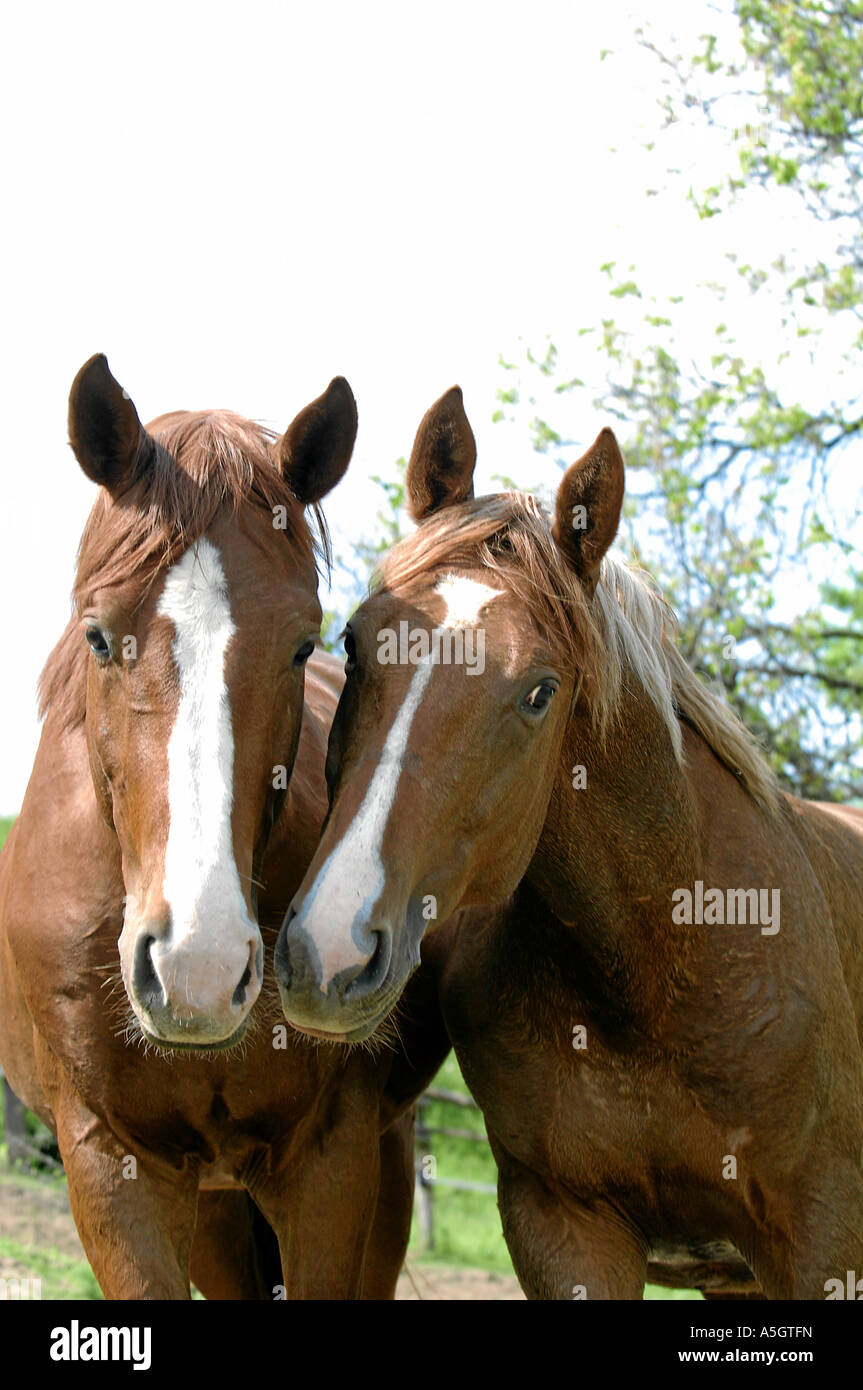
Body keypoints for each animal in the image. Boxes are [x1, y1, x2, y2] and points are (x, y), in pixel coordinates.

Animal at [273, 383, 861, 1301]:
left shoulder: (823, 1240)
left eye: (539, 692)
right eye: (353, 642)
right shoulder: (562, 1227)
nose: (330, 950)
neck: (657, 972)